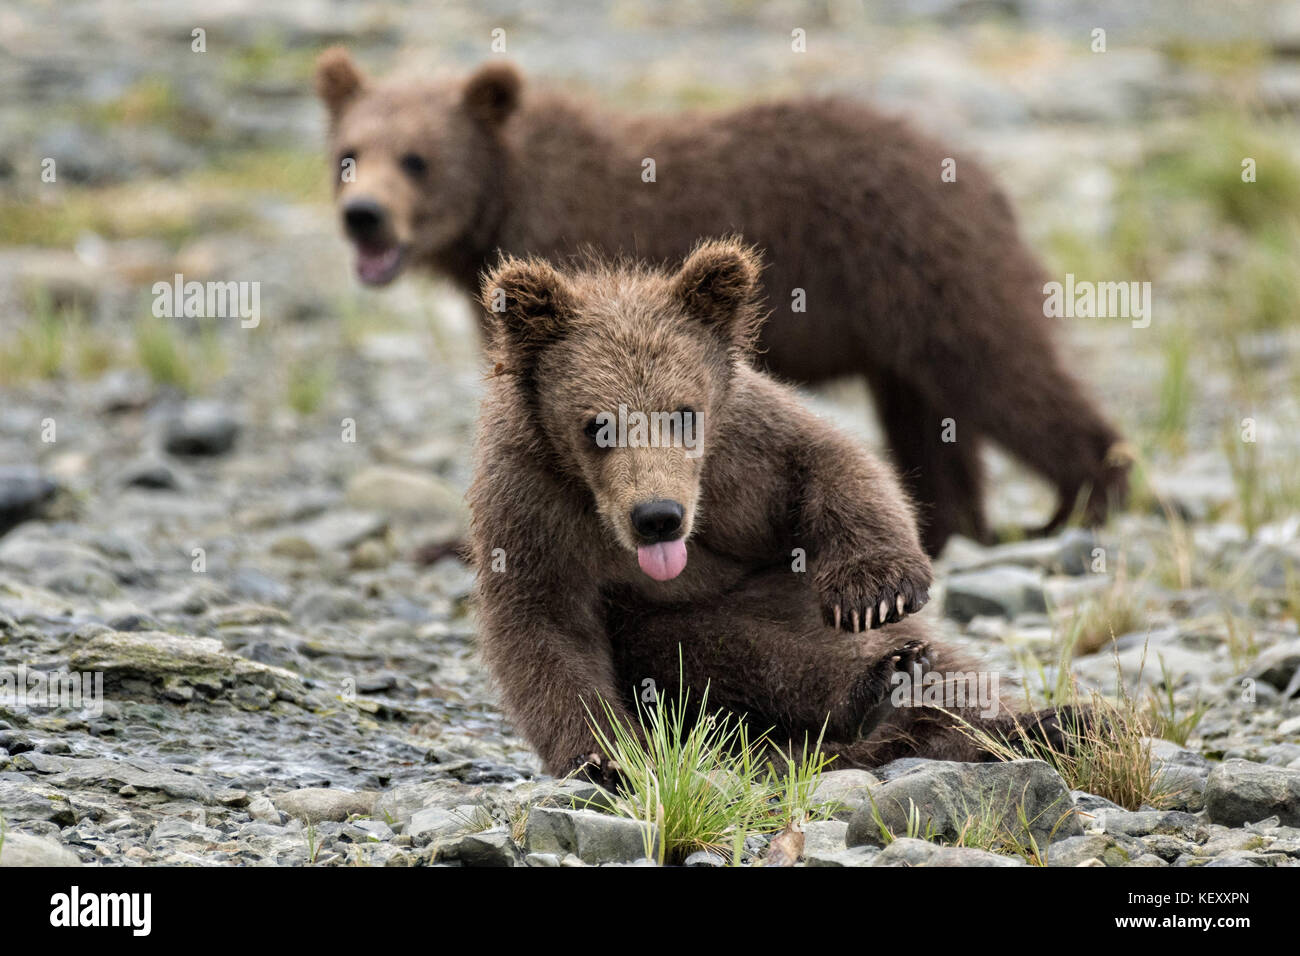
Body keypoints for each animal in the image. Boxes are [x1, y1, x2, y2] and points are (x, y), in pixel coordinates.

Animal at [316, 49, 1132, 558]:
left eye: (417, 159)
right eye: (348, 154)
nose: (364, 217)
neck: (506, 200)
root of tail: (980, 175)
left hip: (920, 266)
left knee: (1001, 370)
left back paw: (1081, 505)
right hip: (894, 327)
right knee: (930, 418)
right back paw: (946, 526)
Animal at [468, 238, 1079, 780]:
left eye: (684, 413)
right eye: (598, 424)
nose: (658, 516)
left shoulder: (744, 449)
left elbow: (831, 464)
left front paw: (874, 591)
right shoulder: (532, 506)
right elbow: (547, 630)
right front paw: (606, 758)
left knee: (953, 689)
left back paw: (1044, 720)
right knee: (706, 646)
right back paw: (883, 687)